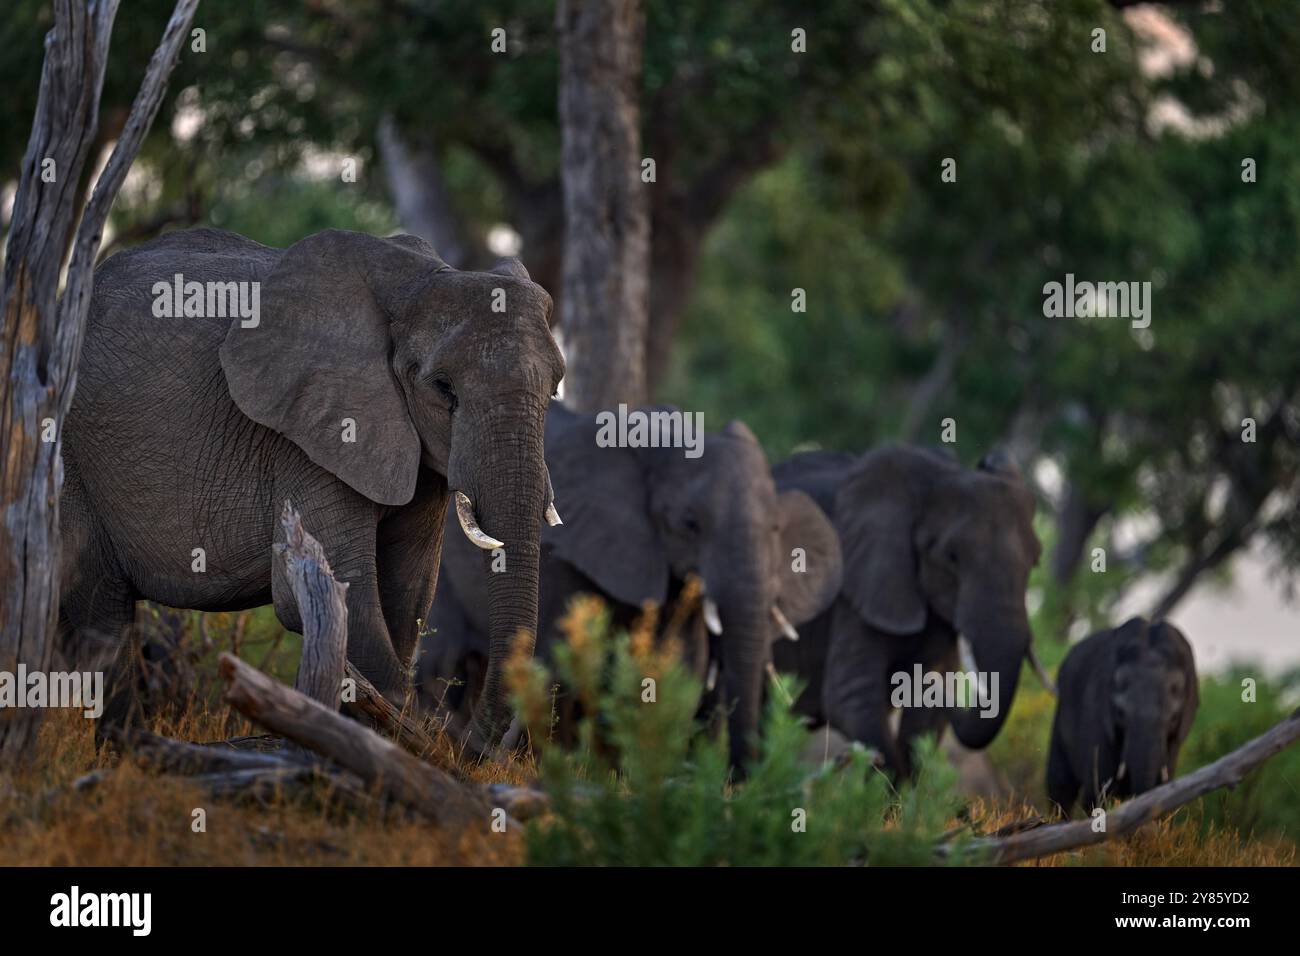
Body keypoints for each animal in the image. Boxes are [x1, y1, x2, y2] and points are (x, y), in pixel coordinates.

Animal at [58, 227, 564, 748]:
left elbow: (407, 597)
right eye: (444, 388)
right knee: (104, 616)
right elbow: (343, 594)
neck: (416, 280)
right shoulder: (307, 438)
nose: (474, 747)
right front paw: (405, 741)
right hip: (71, 458)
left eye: (555, 388)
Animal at [418, 403, 843, 769]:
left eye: (775, 529)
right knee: (441, 659)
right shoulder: (568, 552)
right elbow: (563, 661)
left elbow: (679, 669)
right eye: (690, 524)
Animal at [771, 445, 1044, 777]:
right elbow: (850, 698)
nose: (944, 694)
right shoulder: (859, 581)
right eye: (951, 557)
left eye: (1036, 560)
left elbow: (923, 717)